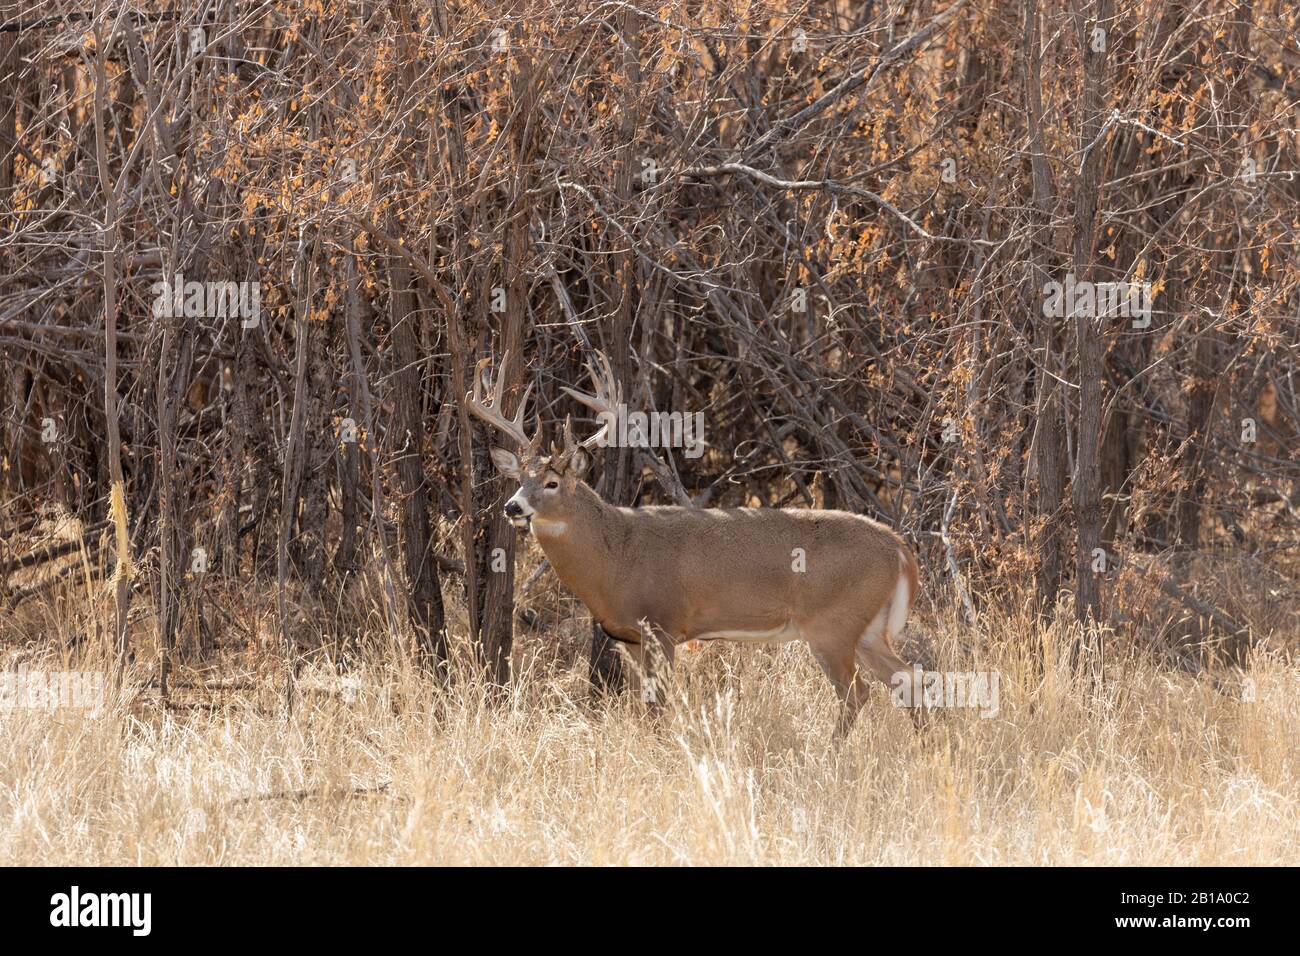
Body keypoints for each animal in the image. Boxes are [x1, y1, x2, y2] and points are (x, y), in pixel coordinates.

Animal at [466, 351, 924, 740]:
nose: (512, 506)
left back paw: (832, 755)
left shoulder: (663, 623)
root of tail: (900, 549)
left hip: (833, 624)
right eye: (518, 479)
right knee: (910, 680)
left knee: (858, 693)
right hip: (868, 628)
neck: (616, 555)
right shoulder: (629, 638)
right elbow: (643, 706)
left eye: (551, 483)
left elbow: (658, 705)